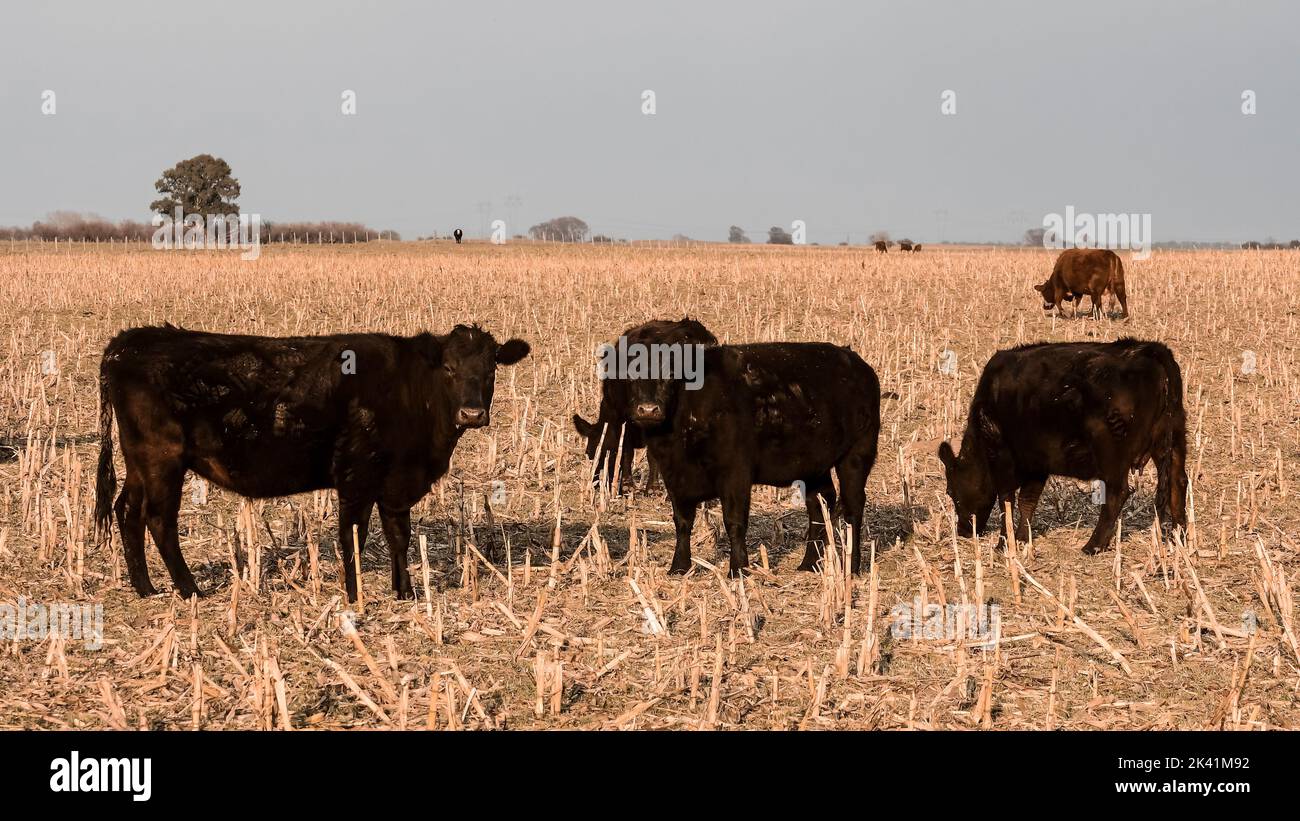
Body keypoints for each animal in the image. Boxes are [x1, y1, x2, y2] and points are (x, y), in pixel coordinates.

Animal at [94, 323, 530, 602]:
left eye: (491, 369)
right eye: (449, 369)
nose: (472, 414)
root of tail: (132, 339)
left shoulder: (396, 483)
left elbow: (399, 537)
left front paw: (406, 593)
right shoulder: (356, 476)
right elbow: (352, 535)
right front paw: (354, 597)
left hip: (140, 462)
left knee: (127, 510)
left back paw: (145, 588)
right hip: (162, 459)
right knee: (158, 520)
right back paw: (189, 591)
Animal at [623, 343, 880, 575]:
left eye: (669, 377)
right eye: (631, 377)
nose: (648, 410)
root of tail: (857, 364)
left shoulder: (735, 475)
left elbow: (734, 522)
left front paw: (738, 569)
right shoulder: (675, 479)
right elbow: (682, 522)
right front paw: (679, 567)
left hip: (856, 456)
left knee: (852, 507)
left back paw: (852, 567)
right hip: (814, 466)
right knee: (820, 505)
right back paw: (809, 563)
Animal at [938, 339, 1186, 555]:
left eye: (950, 491)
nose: (963, 531)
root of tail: (1148, 349)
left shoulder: (1003, 457)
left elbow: (1006, 501)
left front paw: (1004, 543)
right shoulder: (1036, 462)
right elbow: (1027, 500)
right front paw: (1022, 538)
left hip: (1111, 452)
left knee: (1118, 492)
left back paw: (1093, 545)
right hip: (1175, 439)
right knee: (1178, 483)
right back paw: (1179, 536)